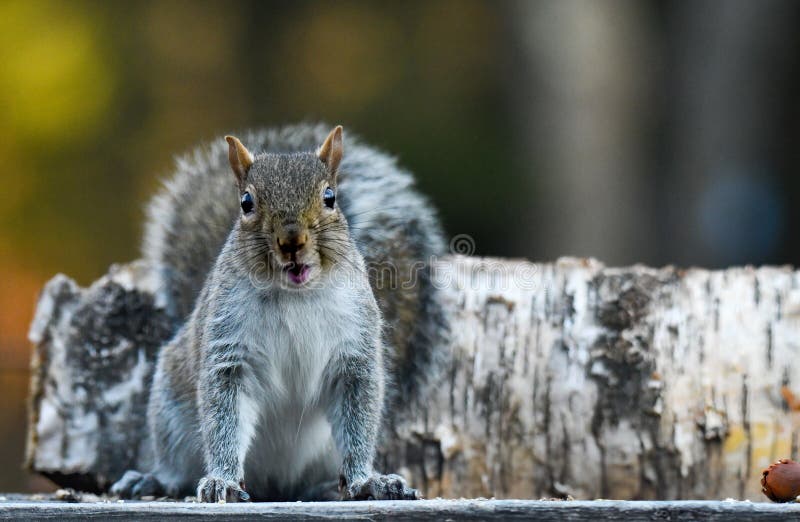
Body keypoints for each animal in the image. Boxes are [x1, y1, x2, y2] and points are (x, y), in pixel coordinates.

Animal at [110, 123, 446, 502]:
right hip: (172, 418)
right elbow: (224, 419)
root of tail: (274, 483)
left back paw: (328, 487)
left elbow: (357, 424)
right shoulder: (228, 352)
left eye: (330, 197)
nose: (291, 240)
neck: (295, 296)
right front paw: (222, 480)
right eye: (246, 203)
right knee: (175, 467)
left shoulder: (354, 353)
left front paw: (367, 480)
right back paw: (150, 480)